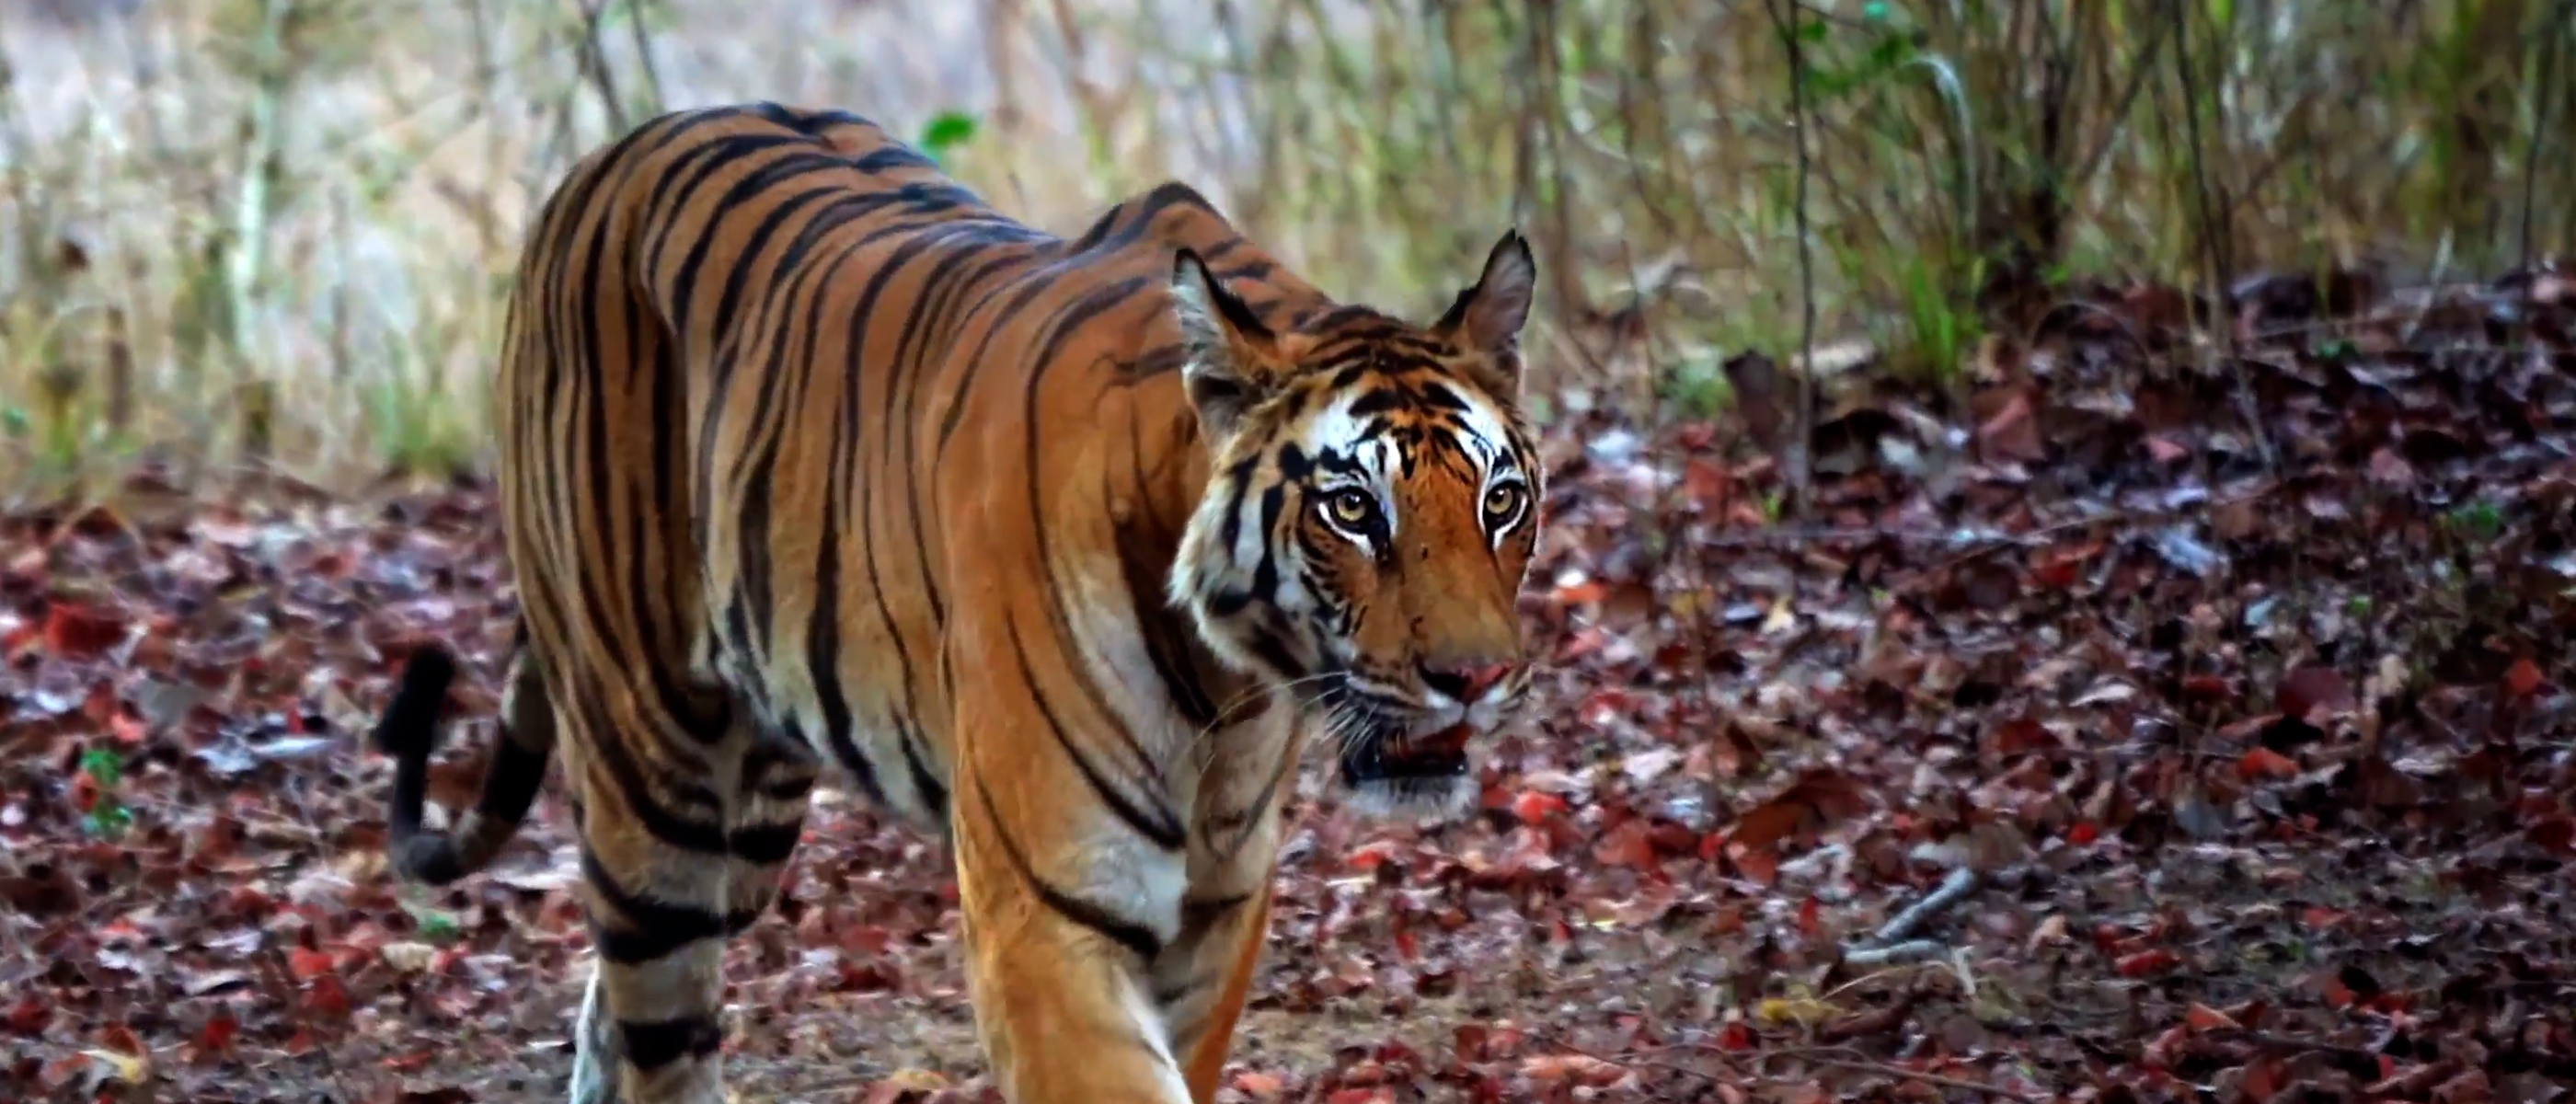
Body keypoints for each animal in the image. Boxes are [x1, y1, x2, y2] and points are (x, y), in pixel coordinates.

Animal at [369, 101, 1546, 1104]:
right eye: (1352, 509)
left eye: (1500, 501)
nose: (1478, 677)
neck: (1229, 687)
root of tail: (596, 166)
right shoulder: (1044, 916)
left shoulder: (1215, 914)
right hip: (649, 776)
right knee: (661, 1024)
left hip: (750, 812)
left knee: (612, 1003)